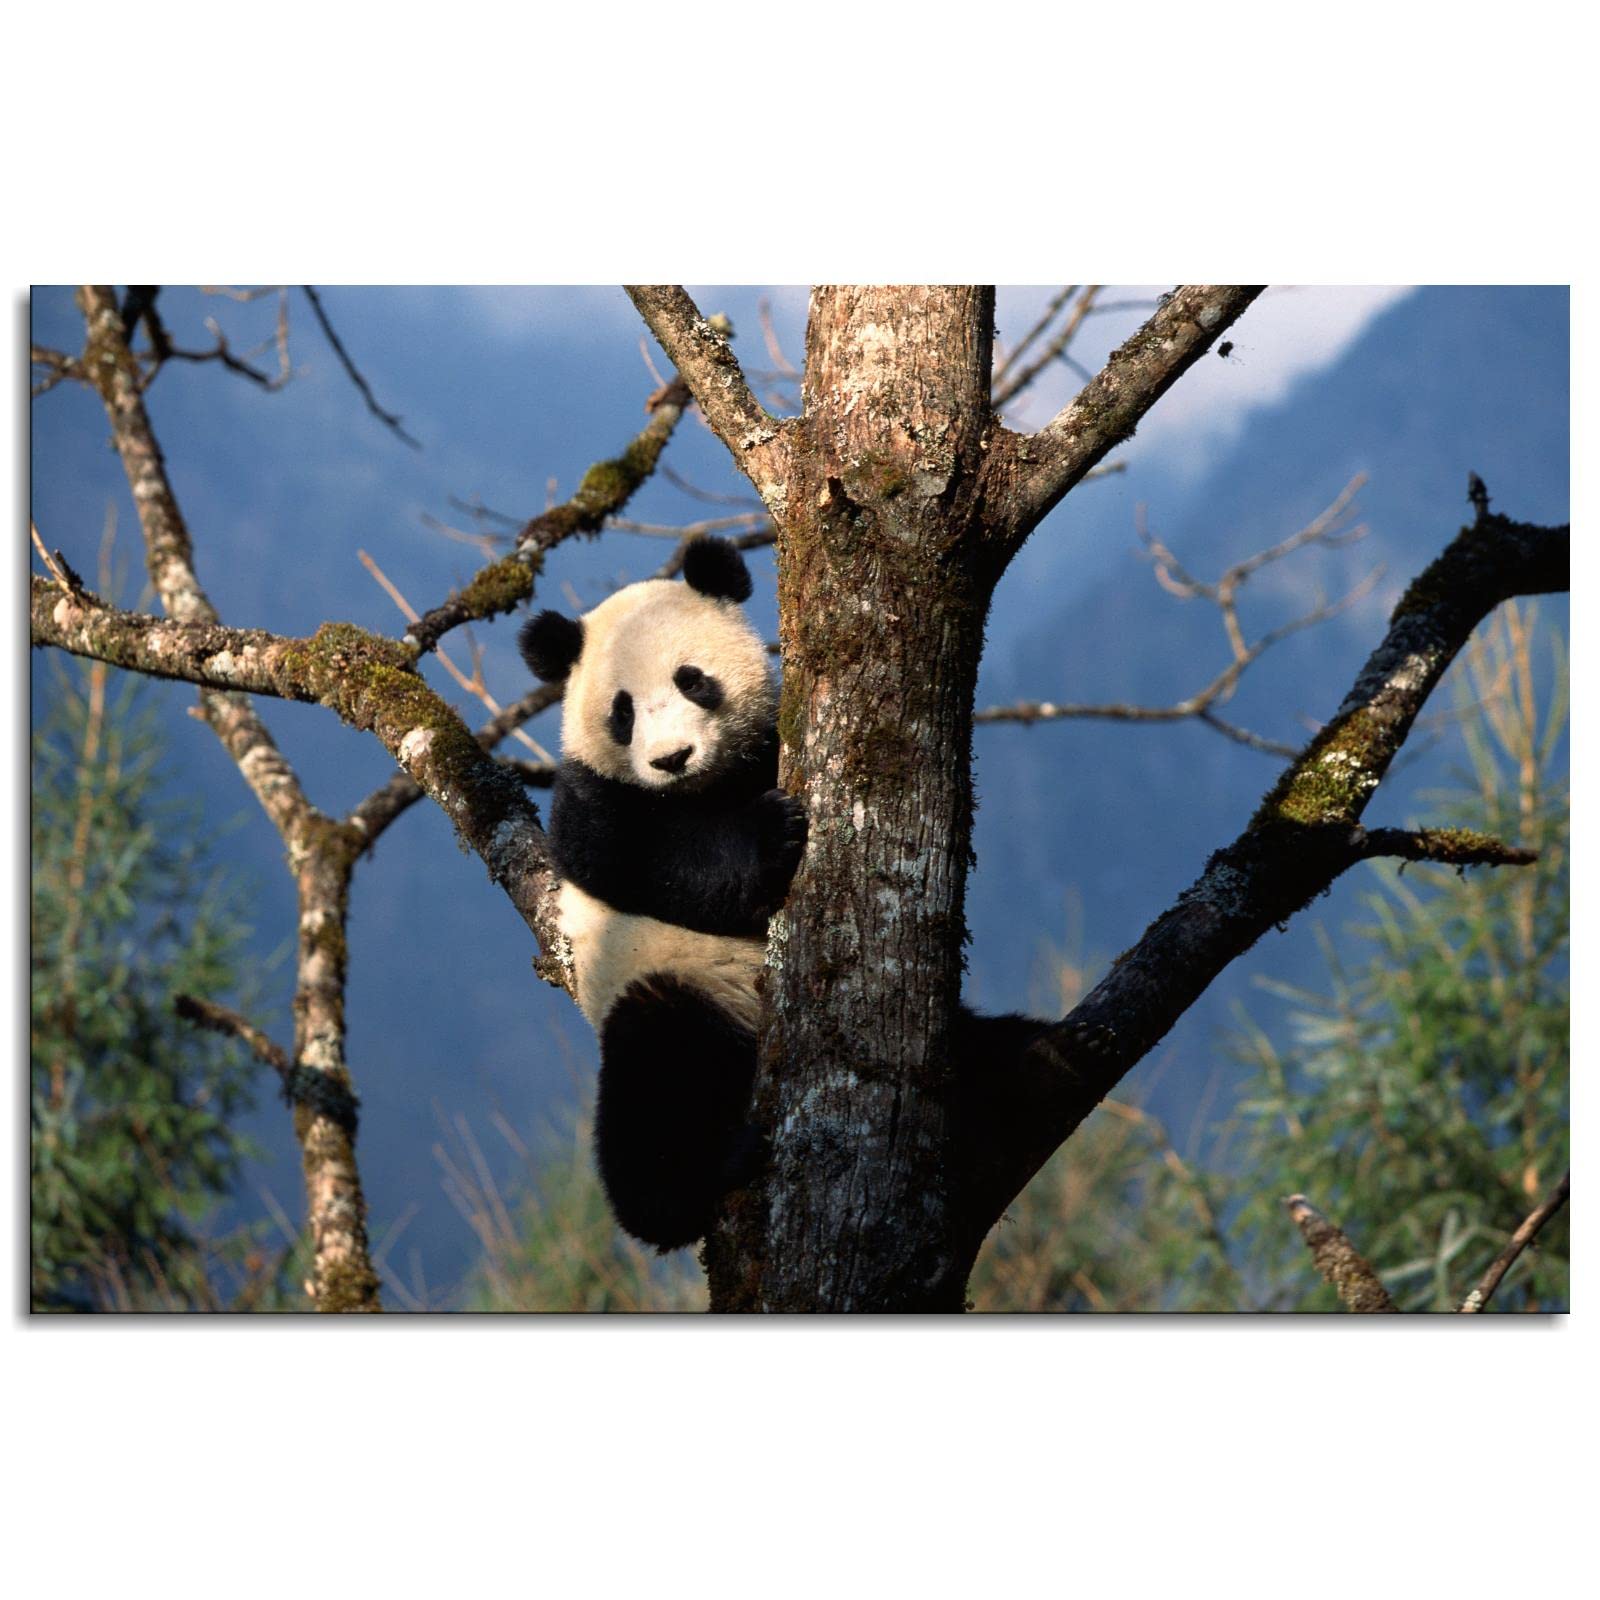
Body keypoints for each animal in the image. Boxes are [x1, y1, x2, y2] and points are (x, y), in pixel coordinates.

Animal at [518, 536, 804, 1251]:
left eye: (691, 679)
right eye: (621, 712)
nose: (672, 759)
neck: (702, 792)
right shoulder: (593, 802)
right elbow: (649, 862)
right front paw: (769, 834)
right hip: (679, 989)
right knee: (653, 1076)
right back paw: (690, 1185)